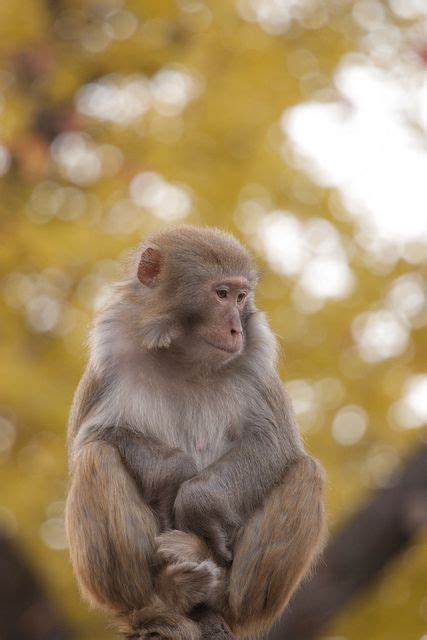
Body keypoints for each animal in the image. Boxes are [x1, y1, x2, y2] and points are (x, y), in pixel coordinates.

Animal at [65, 225, 325, 640]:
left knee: (306, 472)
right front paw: (175, 473)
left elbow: (275, 444)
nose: (236, 328)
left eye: (241, 296)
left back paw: (220, 591)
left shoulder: (257, 359)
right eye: (221, 294)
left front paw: (196, 502)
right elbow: (90, 438)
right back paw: (160, 598)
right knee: (97, 457)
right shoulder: (111, 350)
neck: (185, 357)